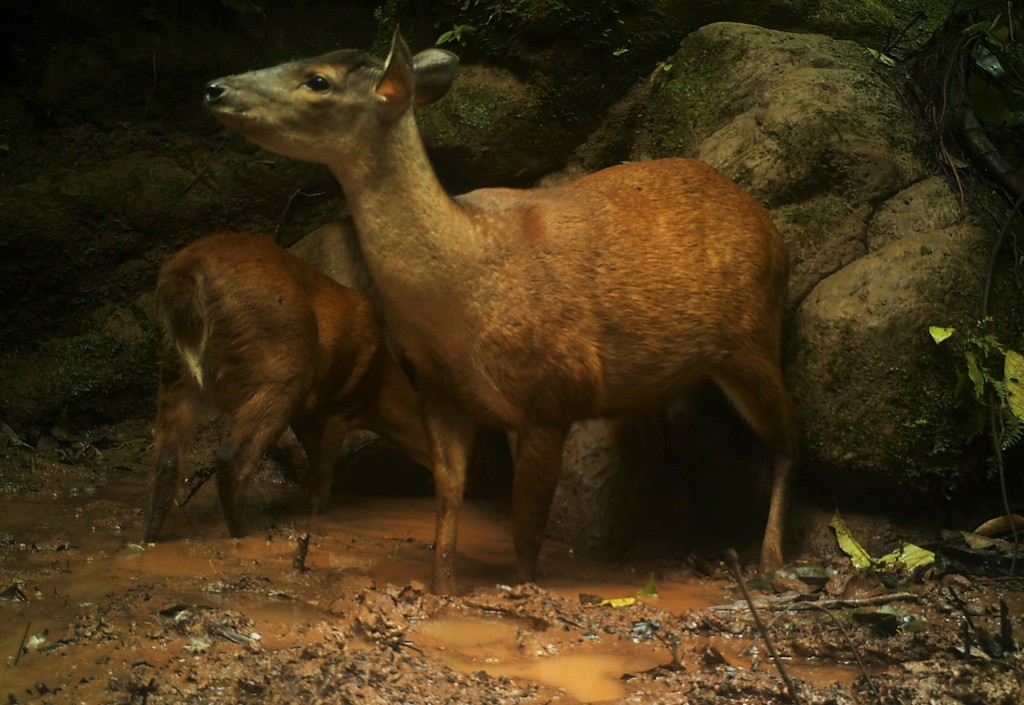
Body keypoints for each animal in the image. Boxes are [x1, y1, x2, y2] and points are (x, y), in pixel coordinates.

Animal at [145, 231, 431, 542]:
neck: (375, 389)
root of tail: (185, 273)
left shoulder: (307, 415)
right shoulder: (335, 409)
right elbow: (320, 488)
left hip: (172, 370)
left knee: (167, 463)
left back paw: (150, 538)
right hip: (282, 368)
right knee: (230, 459)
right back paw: (242, 535)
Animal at [202, 30, 798, 593]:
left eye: (318, 80)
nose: (214, 88)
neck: (461, 290)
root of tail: (768, 224)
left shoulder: (551, 394)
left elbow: (525, 530)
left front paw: (524, 588)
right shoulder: (442, 391)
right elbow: (448, 505)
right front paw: (444, 590)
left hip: (752, 334)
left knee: (786, 438)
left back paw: (770, 558)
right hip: (639, 384)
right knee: (656, 460)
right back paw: (612, 556)